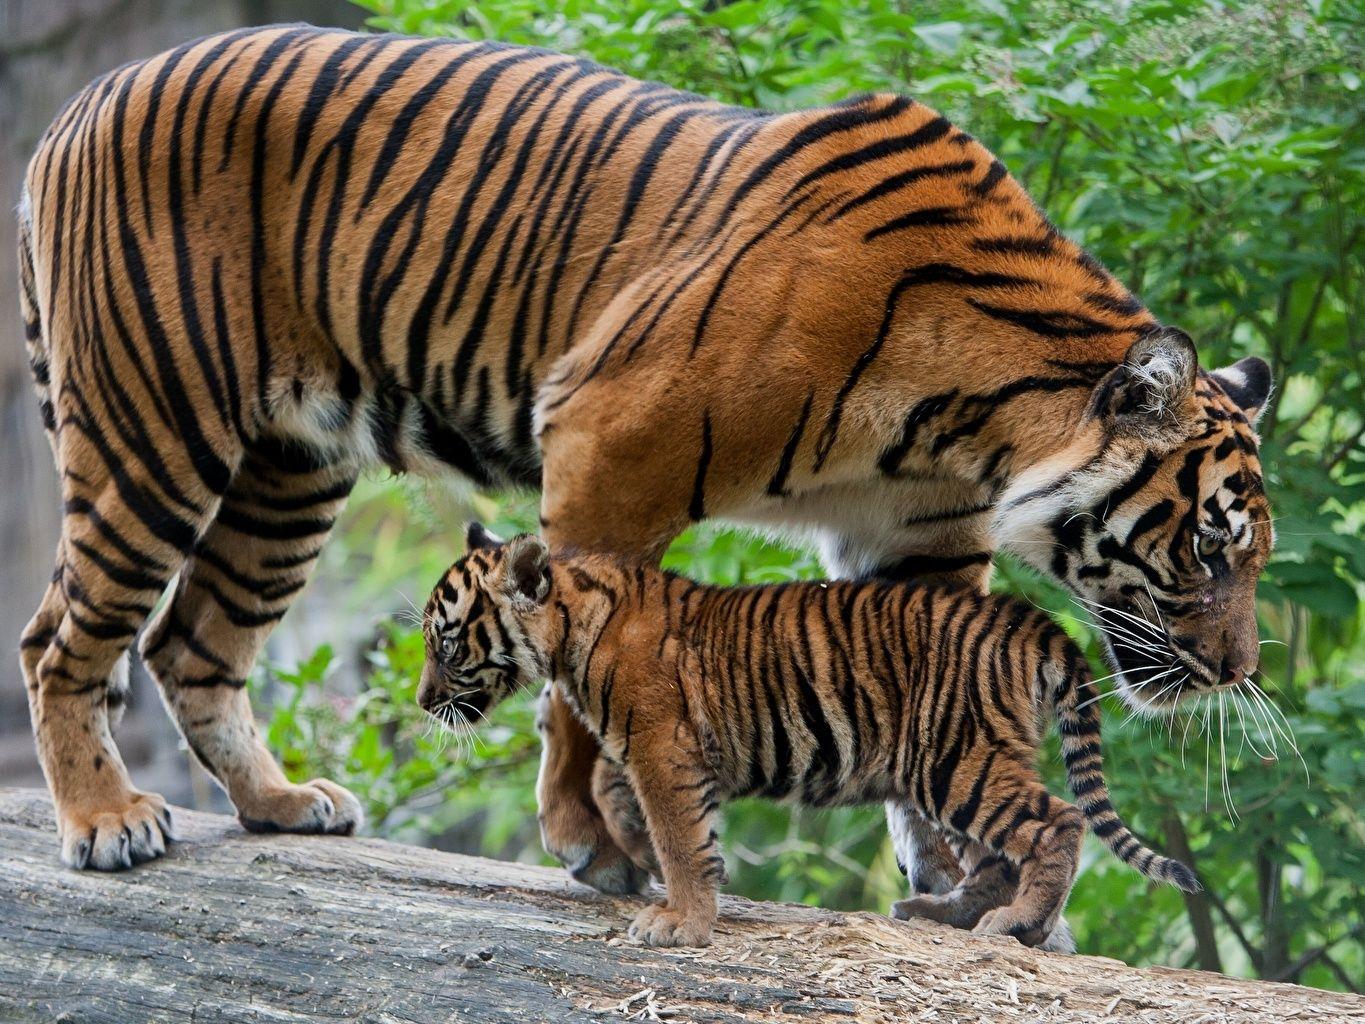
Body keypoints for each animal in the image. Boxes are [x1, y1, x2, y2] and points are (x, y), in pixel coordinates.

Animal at [17, 25, 1272, 894]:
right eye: (1212, 549)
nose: (1237, 672)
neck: (969, 415)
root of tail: (81, 102)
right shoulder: (610, 449)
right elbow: (576, 684)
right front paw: (591, 844)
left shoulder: (916, 537)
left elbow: (925, 690)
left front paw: (950, 877)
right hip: (153, 430)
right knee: (61, 638)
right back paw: (105, 820)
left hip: (290, 466)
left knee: (192, 642)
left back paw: (280, 802)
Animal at [415, 524, 1199, 948]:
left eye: (447, 645)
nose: (423, 701)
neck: (572, 626)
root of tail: (1028, 619)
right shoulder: (655, 751)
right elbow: (642, 811)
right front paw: (640, 865)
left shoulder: (662, 750)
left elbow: (679, 838)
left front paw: (680, 921)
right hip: (955, 763)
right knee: (994, 857)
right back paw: (939, 911)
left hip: (956, 758)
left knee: (1056, 822)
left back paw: (1017, 925)